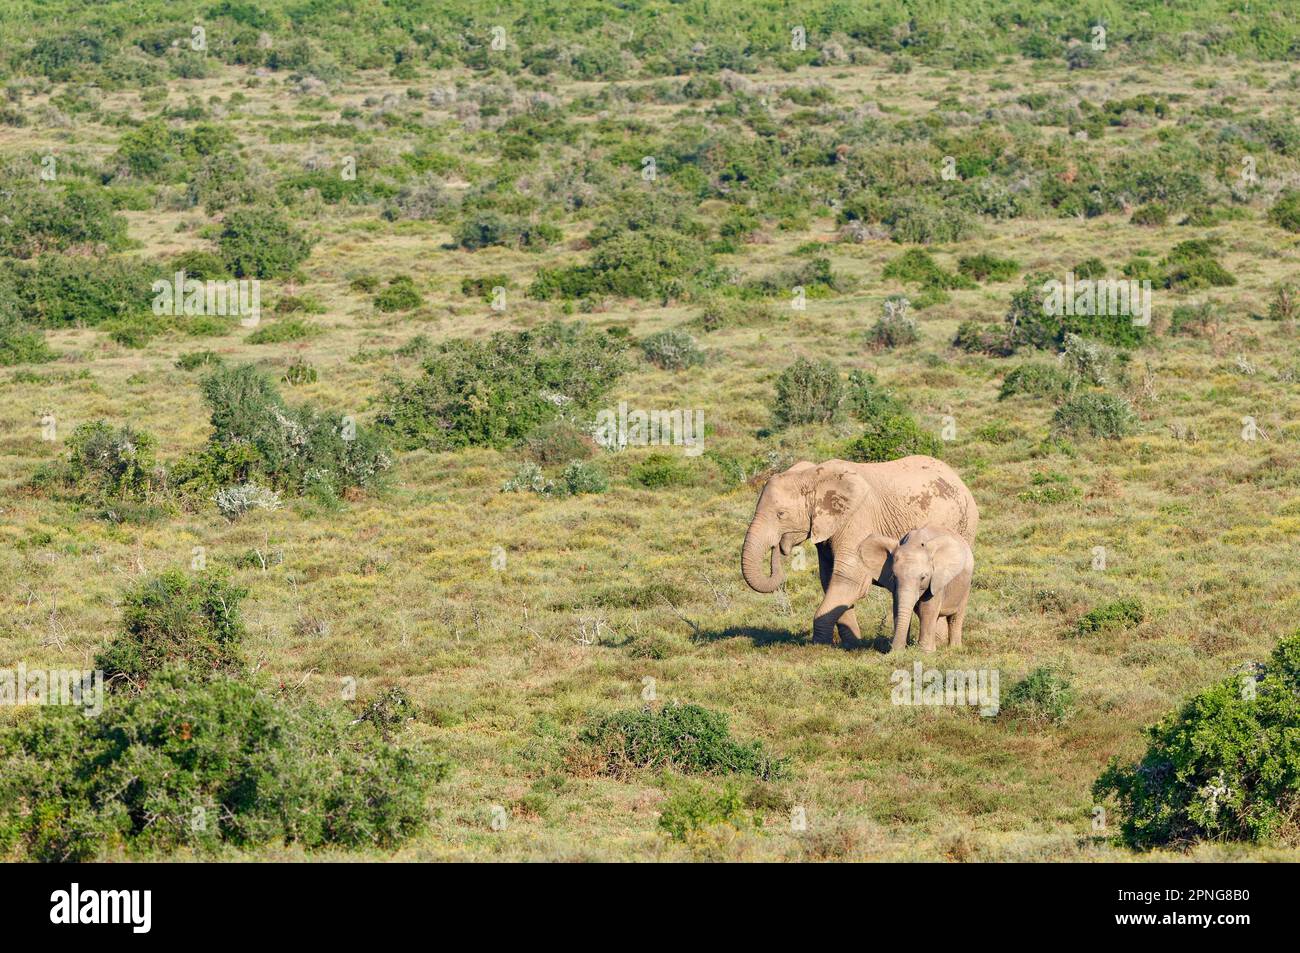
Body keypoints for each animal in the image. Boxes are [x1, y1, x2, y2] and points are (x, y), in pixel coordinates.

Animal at [740, 456, 978, 647]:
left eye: (781, 514)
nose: (778, 548)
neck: (812, 475)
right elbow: (829, 579)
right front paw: (852, 644)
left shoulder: (857, 519)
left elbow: (849, 578)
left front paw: (819, 646)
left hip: (965, 527)